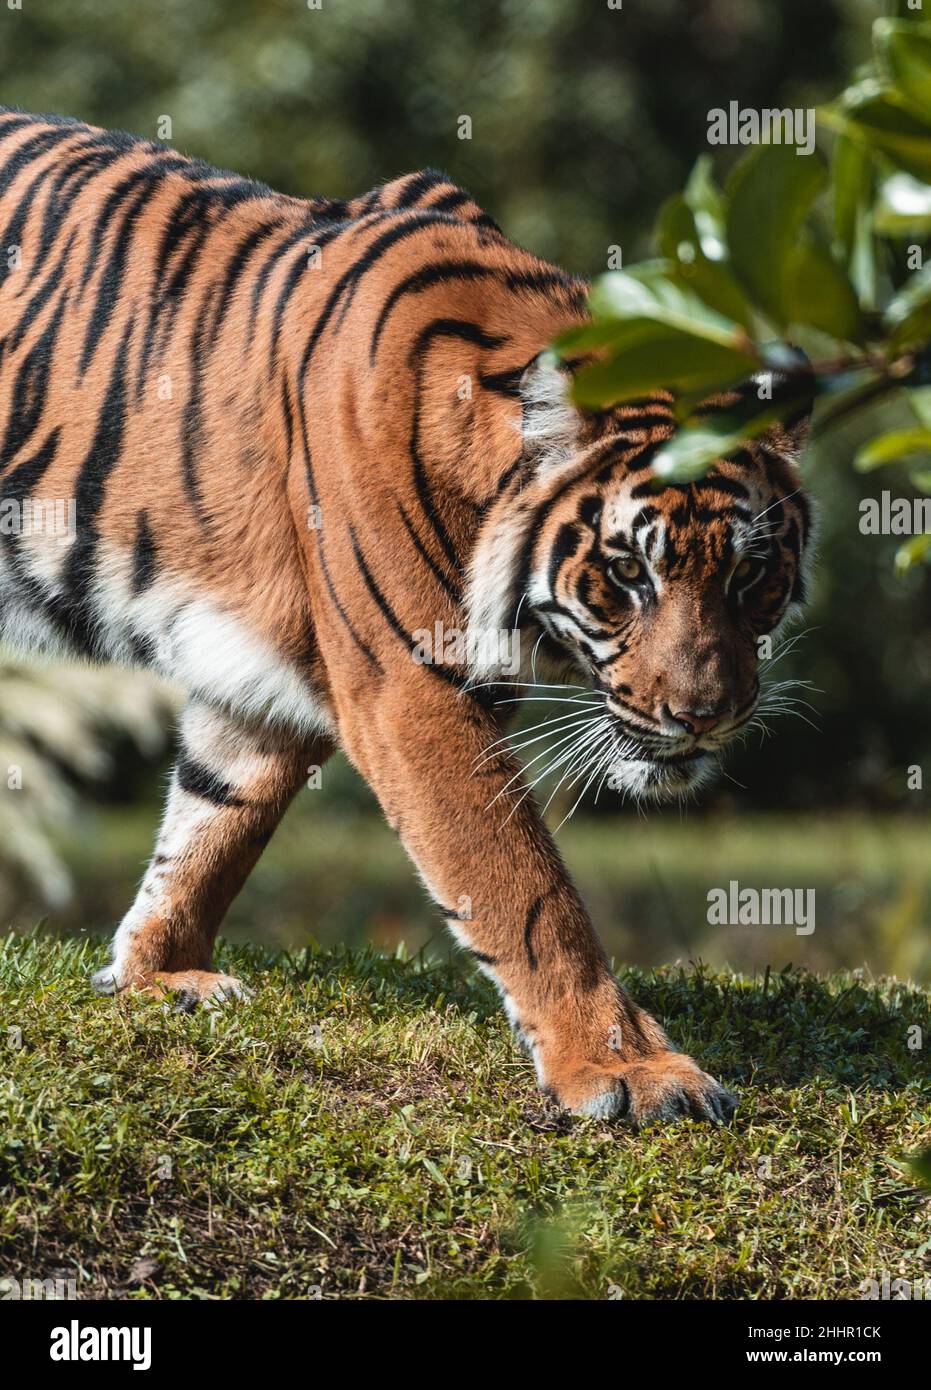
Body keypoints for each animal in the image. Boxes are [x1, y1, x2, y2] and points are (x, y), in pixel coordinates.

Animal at [0, 108, 814, 1127]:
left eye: (750, 575)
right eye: (627, 572)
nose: (704, 715)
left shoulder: (261, 682)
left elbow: (210, 824)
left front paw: (158, 974)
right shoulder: (409, 686)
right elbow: (524, 890)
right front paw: (628, 1069)